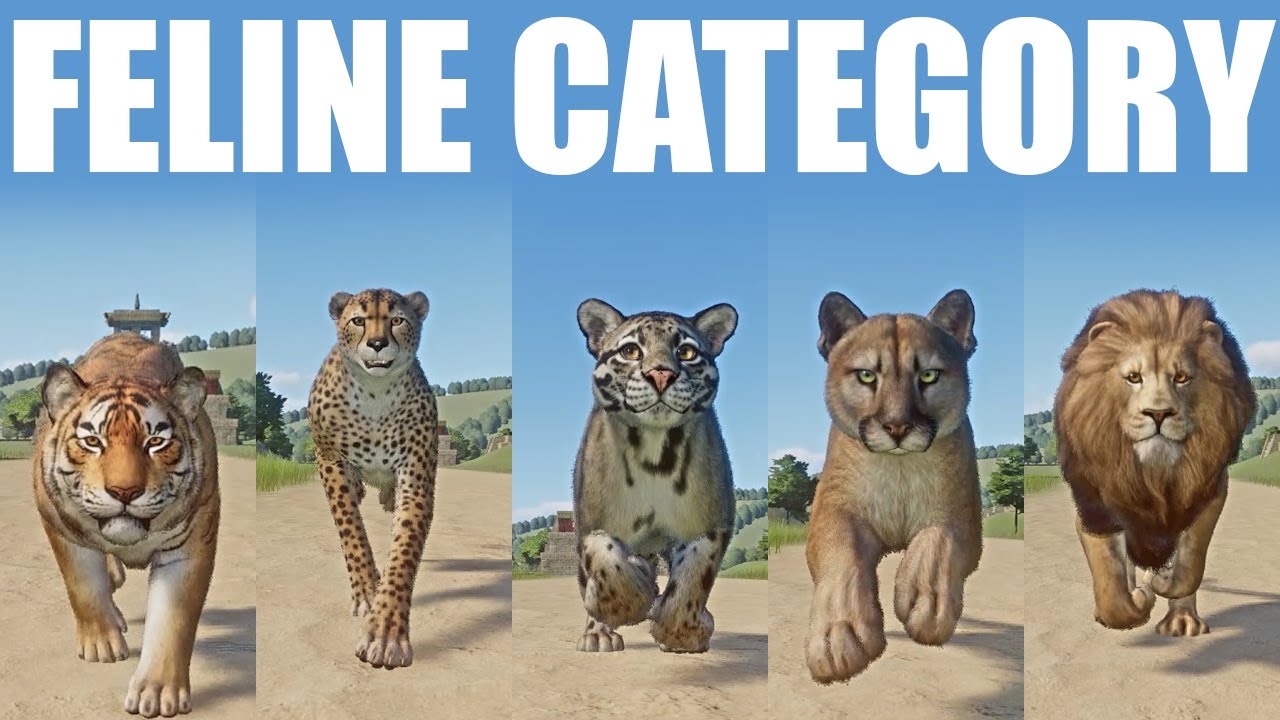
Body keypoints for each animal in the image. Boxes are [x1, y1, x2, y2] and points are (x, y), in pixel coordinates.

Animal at [1054, 289, 1255, 635]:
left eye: (1182, 377)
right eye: (1134, 377)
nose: (1159, 414)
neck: (1153, 475)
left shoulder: (1209, 492)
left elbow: (1190, 566)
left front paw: (1164, 586)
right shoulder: (1093, 507)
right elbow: (1110, 582)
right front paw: (1137, 600)